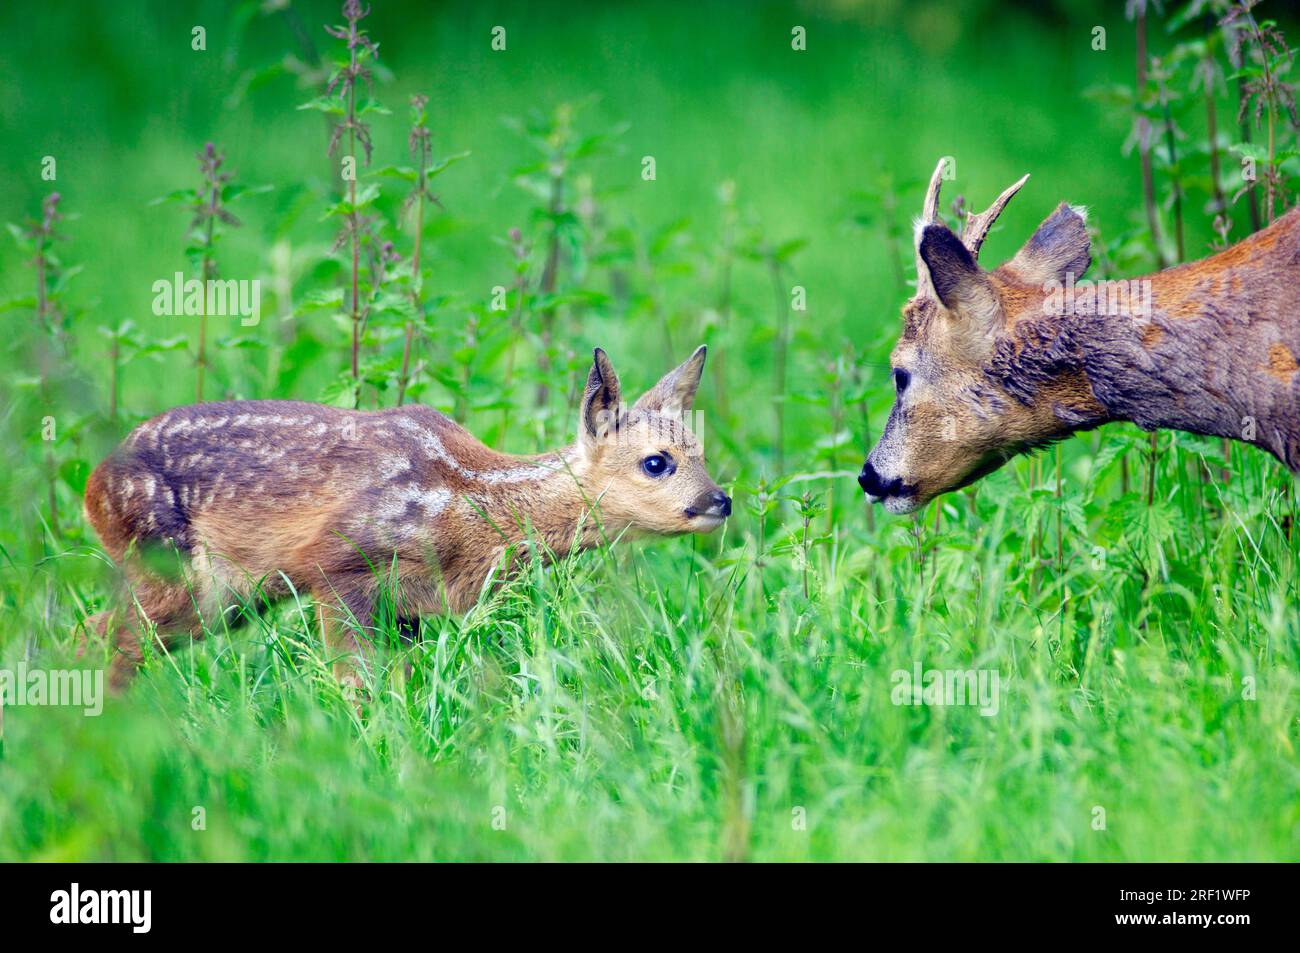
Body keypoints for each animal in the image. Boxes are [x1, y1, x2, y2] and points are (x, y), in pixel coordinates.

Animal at [82, 346, 730, 693]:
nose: (719, 501)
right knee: (104, 635)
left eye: (701, 451)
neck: (472, 507)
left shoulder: (414, 611)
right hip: (173, 566)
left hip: (226, 595)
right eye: (657, 461)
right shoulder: (339, 566)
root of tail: (92, 487)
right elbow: (355, 684)